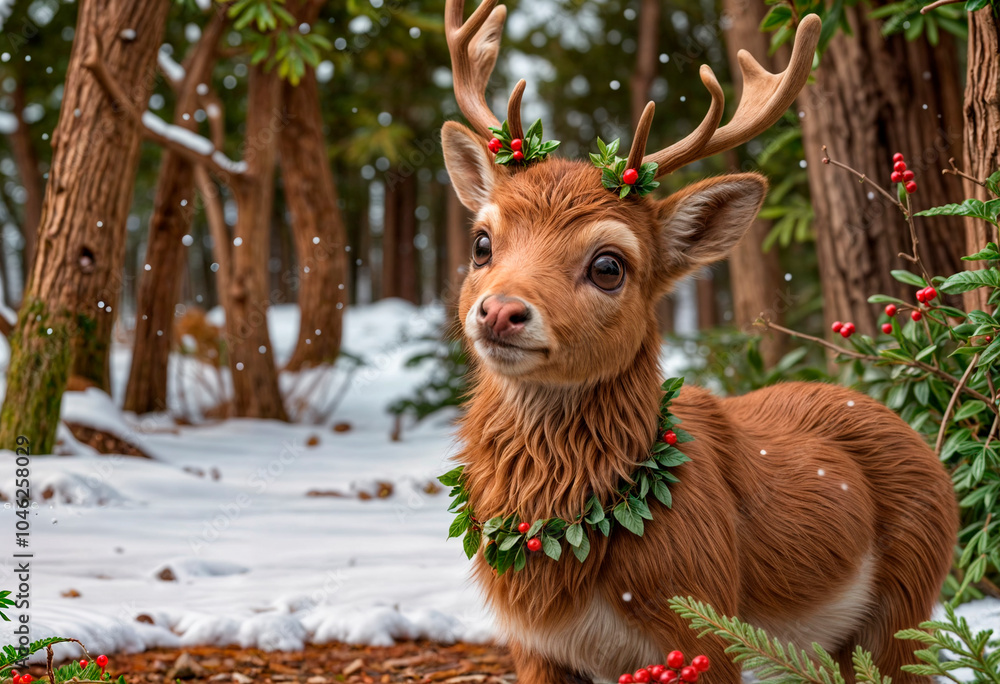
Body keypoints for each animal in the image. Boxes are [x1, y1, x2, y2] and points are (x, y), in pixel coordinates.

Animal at [439, 2, 958, 683]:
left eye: (609, 265)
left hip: (906, 603)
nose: (500, 311)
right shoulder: (534, 646)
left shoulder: (702, 621)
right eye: (481, 243)